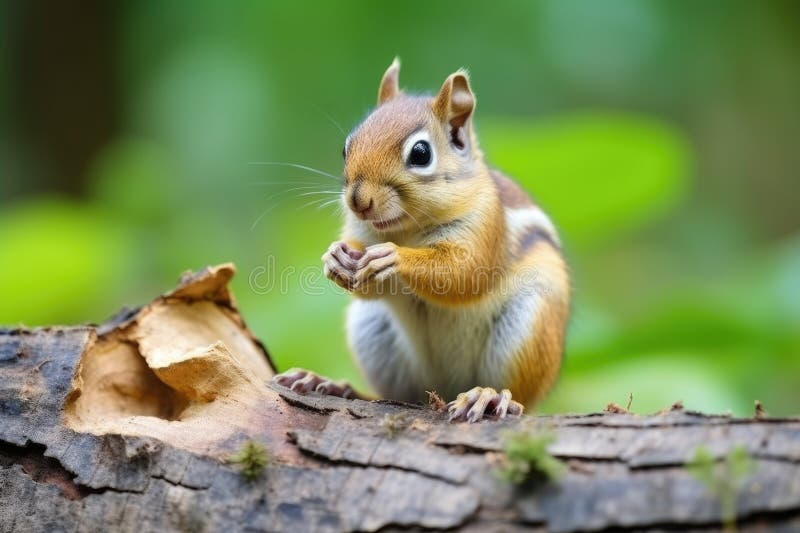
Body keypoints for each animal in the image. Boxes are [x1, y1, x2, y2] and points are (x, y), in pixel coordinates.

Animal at [274, 59, 570, 422]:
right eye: (346, 146)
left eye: (420, 153)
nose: (358, 201)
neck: (404, 230)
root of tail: (443, 389)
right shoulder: (361, 232)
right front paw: (335, 257)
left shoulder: (484, 226)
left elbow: (462, 273)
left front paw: (392, 257)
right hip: (371, 332)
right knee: (394, 394)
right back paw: (331, 384)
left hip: (529, 326)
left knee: (519, 399)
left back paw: (488, 396)